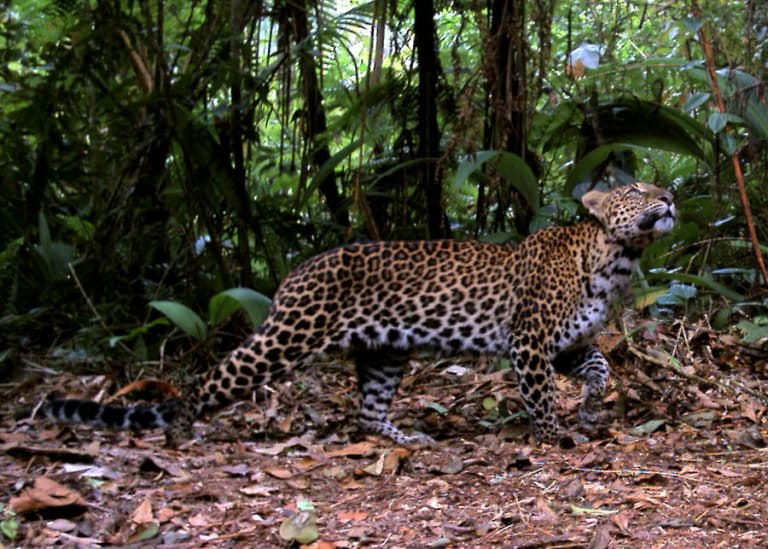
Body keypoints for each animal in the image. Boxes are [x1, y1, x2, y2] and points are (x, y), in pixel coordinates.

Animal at [38, 182, 675, 446]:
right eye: (637, 190)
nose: (670, 196)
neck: (616, 259)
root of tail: (297, 271)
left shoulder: (561, 345)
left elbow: (598, 366)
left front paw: (590, 402)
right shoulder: (529, 342)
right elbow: (540, 395)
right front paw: (553, 436)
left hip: (384, 350)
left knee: (367, 410)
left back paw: (406, 438)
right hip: (286, 337)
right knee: (212, 379)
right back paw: (178, 426)